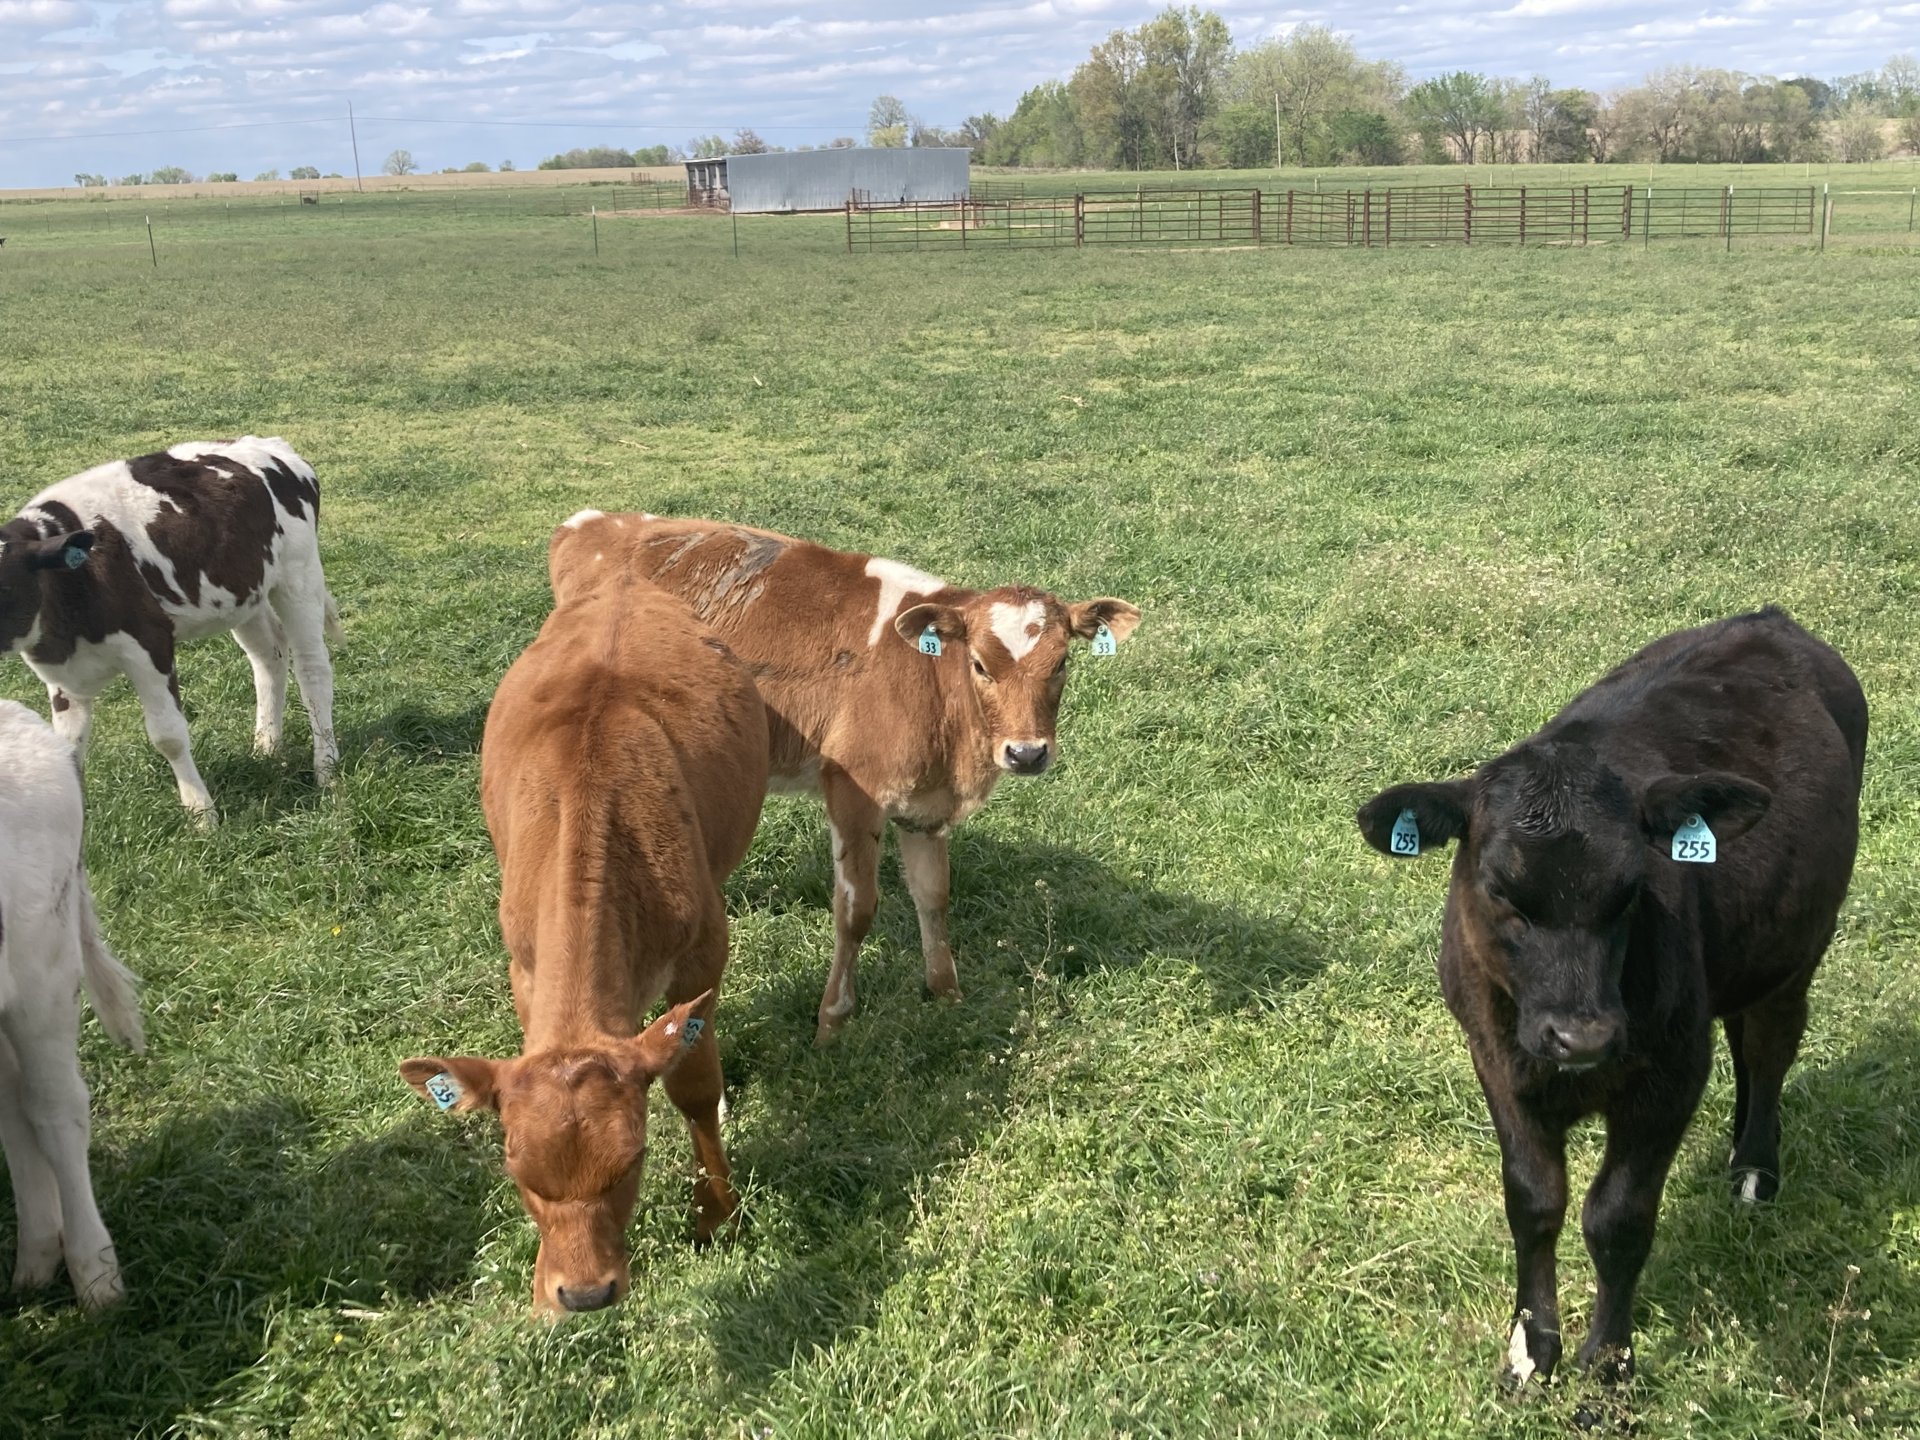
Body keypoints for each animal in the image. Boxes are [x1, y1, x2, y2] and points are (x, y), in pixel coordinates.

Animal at [0, 436, 342, 821]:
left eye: (4, 587)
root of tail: (269, 444)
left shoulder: (150, 645)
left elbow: (169, 736)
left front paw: (202, 815)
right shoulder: (63, 676)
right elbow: (69, 750)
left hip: (299, 574)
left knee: (312, 668)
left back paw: (326, 769)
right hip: (244, 593)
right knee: (269, 655)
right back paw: (267, 746)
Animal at [400, 517, 768, 1315]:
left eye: (633, 1160)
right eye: (516, 1170)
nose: (586, 1293)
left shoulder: (703, 953)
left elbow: (695, 1086)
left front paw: (716, 1214)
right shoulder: (524, 964)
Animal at [564, 509, 1141, 1044]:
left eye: (1062, 662)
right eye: (980, 664)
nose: (1026, 753)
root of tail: (594, 522)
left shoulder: (926, 806)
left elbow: (934, 894)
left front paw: (947, 996)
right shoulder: (851, 788)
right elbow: (856, 909)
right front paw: (832, 1020)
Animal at [1357, 607, 1866, 1390]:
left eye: (1631, 889)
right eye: (1500, 890)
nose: (1583, 1037)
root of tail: (1769, 619)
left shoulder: (1671, 1074)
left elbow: (1618, 1217)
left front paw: (1608, 1361)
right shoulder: (1495, 1059)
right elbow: (1534, 1201)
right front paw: (1530, 1351)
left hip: (1800, 945)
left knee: (1769, 1046)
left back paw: (1754, 1168)